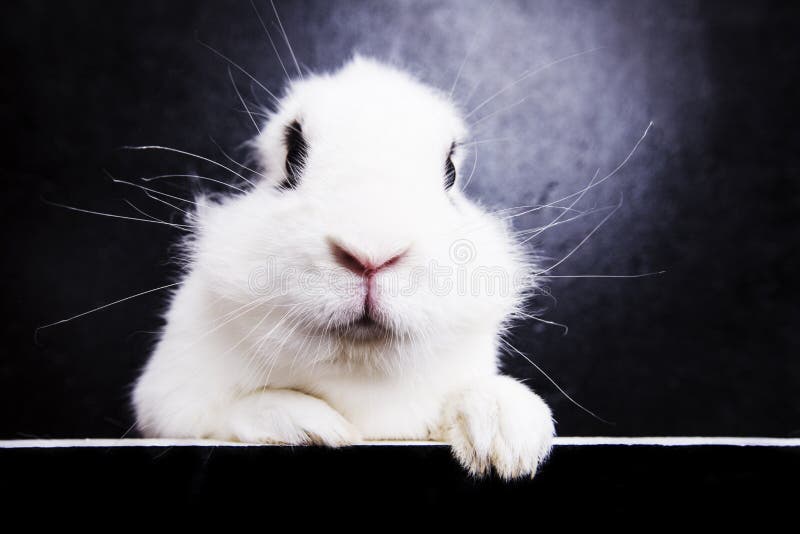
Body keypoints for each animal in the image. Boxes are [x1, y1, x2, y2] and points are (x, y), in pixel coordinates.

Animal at [133, 55, 555, 479]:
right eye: (292, 155)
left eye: (450, 170)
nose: (371, 253)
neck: (359, 367)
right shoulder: (165, 402)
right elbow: (224, 413)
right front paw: (309, 425)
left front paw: (506, 435)